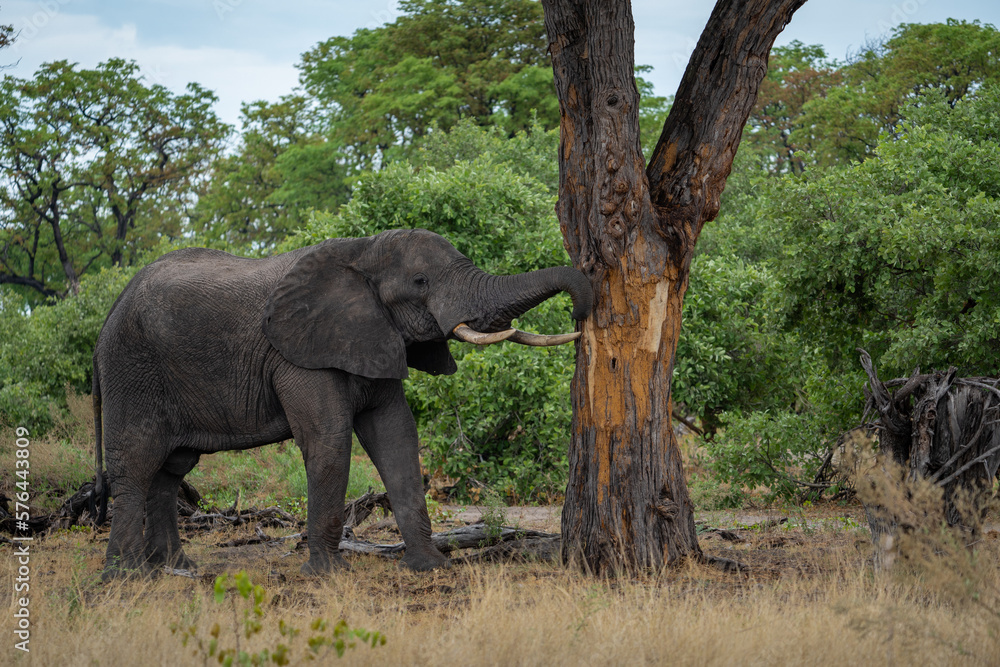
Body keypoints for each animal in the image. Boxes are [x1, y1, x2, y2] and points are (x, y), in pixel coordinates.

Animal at [91, 228, 592, 579]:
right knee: (136, 463)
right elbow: (329, 441)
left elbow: (397, 437)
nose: (581, 312)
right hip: (130, 369)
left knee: (171, 469)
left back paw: (176, 568)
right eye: (421, 281)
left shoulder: (376, 337)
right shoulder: (301, 356)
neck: (363, 251)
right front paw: (327, 575)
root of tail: (110, 309)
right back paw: (126, 577)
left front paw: (431, 567)